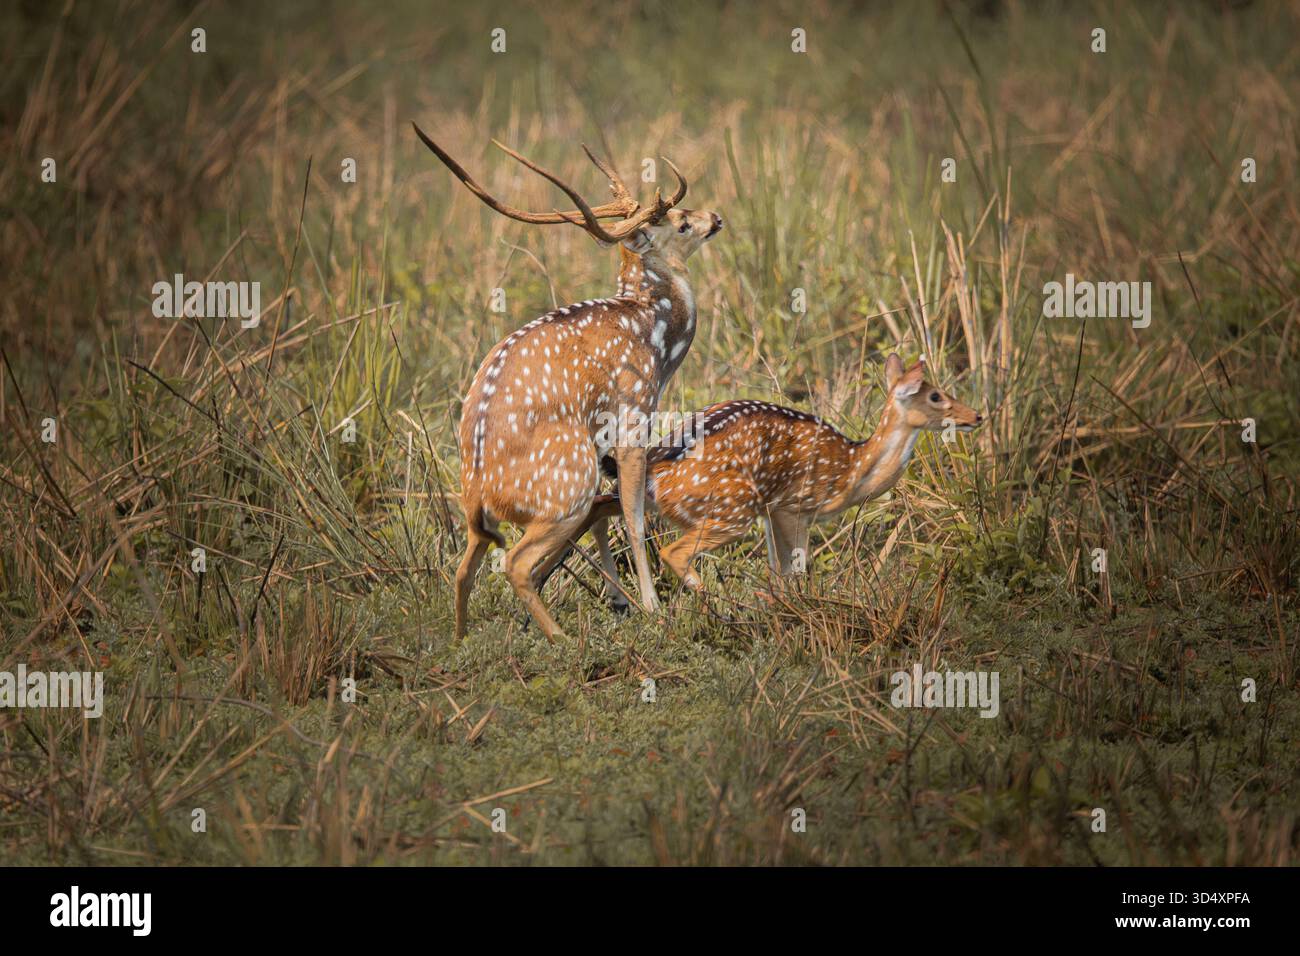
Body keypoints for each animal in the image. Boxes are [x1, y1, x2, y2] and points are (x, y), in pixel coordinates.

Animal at [411, 123, 723, 641]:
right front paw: (652, 607)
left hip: (498, 511)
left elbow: (603, 521)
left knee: (465, 564)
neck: (654, 330)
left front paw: (620, 601)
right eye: (680, 221)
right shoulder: (633, 415)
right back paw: (558, 636)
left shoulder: (604, 442)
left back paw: (460, 638)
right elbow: (634, 515)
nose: (715, 217)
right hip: (566, 485)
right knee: (514, 561)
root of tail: (480, 492)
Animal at [542, 354, 981, 597]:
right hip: (733, 508)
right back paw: (718, 605)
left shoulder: (772, 512)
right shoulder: (793, 505)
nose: (976, 415)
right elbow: (794, 570)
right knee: (673, 552)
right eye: (936, 395)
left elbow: (778, 571)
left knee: (599, 508)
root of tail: (659, 468)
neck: (851, 470)